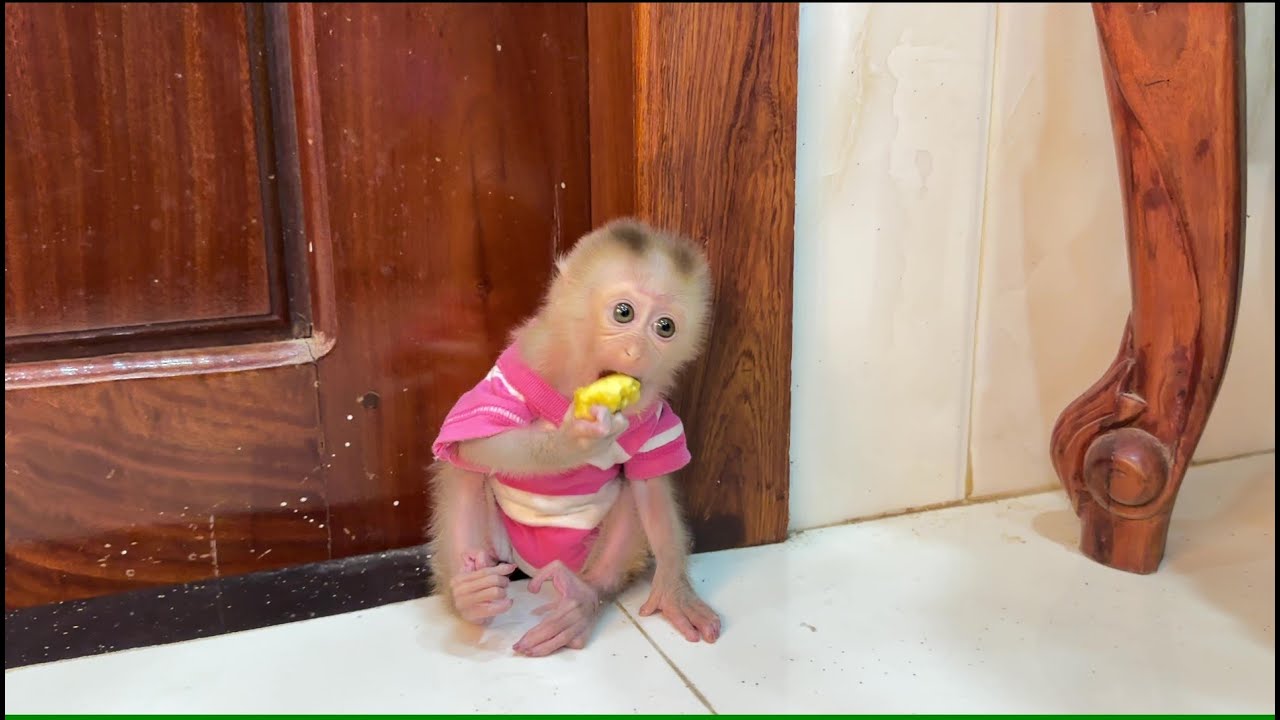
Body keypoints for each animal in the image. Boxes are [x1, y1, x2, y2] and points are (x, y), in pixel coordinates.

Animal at [426, 217, 721, 658]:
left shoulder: (654, 419)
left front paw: (675, 589)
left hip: (582, 555)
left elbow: (651, 488)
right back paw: (471, 598)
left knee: (631, 495)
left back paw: (582, 599)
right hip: (502, 549)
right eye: (623, 313)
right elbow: (477, 438)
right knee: (463, 470)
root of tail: (536, 568)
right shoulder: (515, 369)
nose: (636, 351)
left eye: (664, 327)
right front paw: (569, 443)